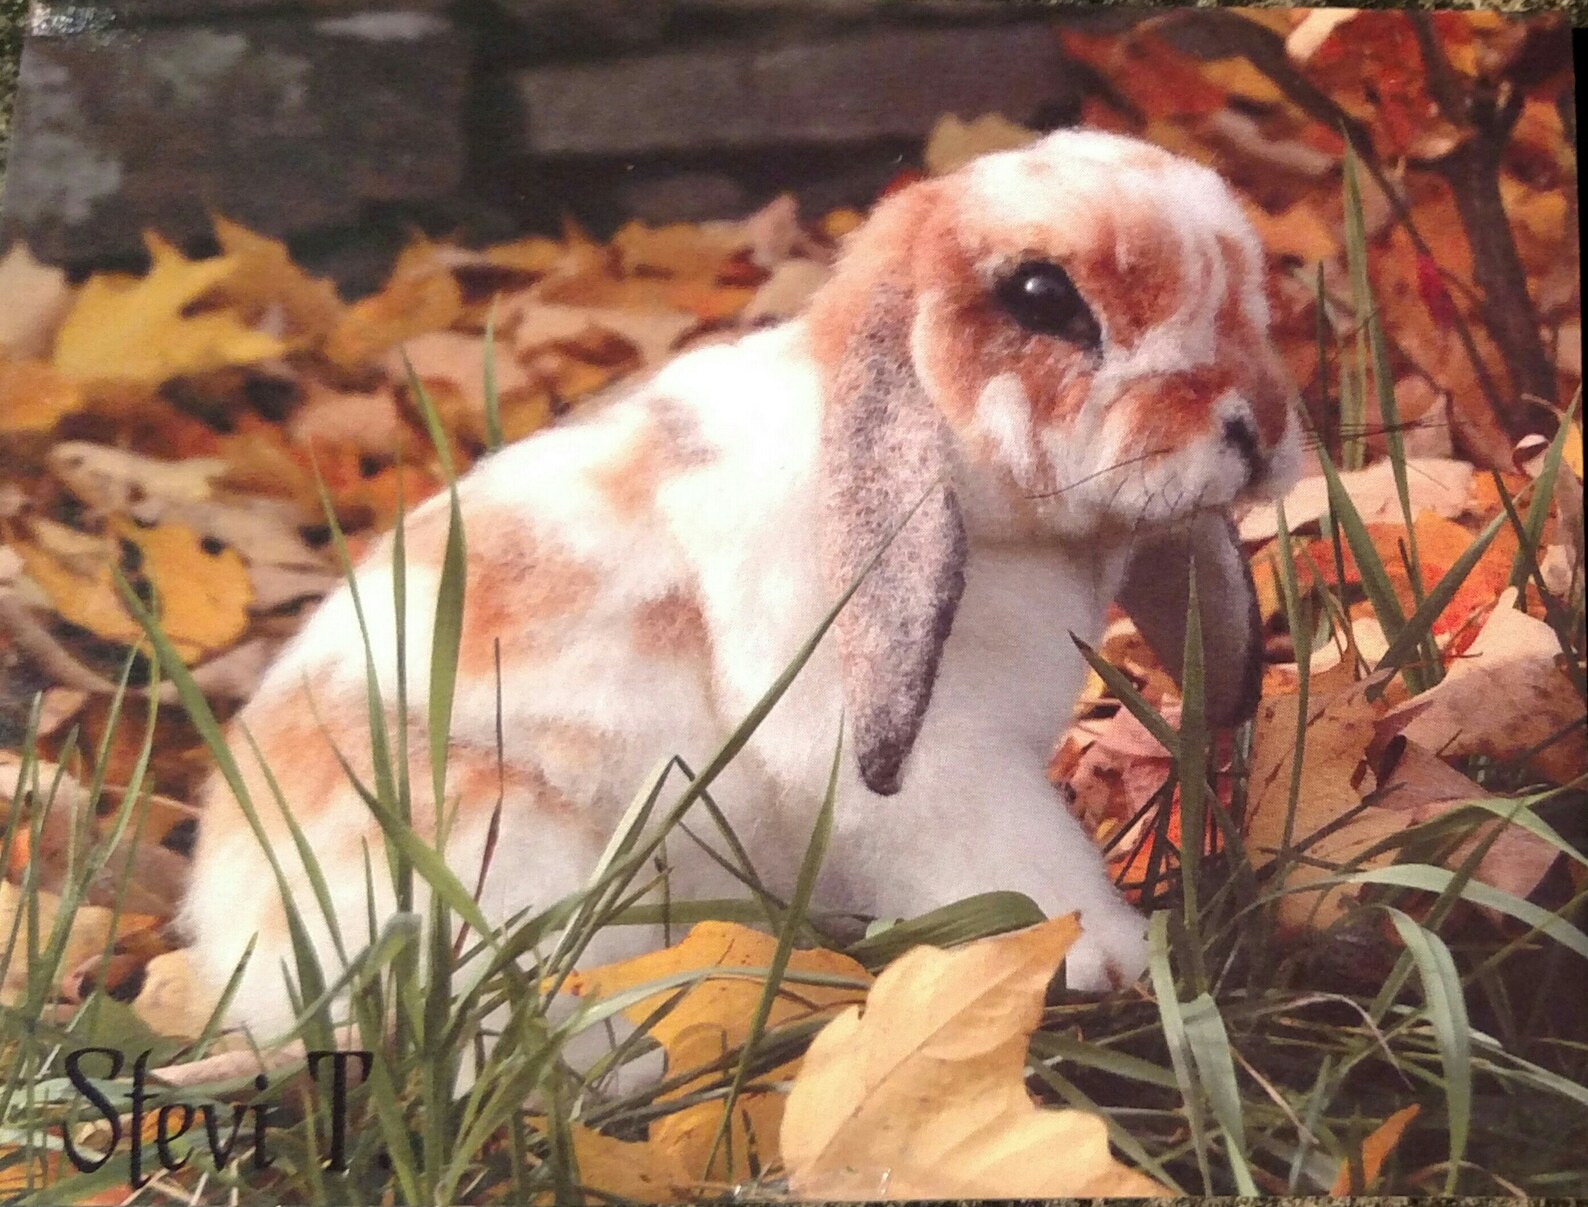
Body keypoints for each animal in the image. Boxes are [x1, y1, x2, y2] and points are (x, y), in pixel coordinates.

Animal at [179, 128, 1301, 1046]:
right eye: (1042, 297)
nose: (1256, 427)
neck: (988, 510)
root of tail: (239, 927)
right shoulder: (926, 761)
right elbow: (1022, 859)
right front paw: (1109, 953)